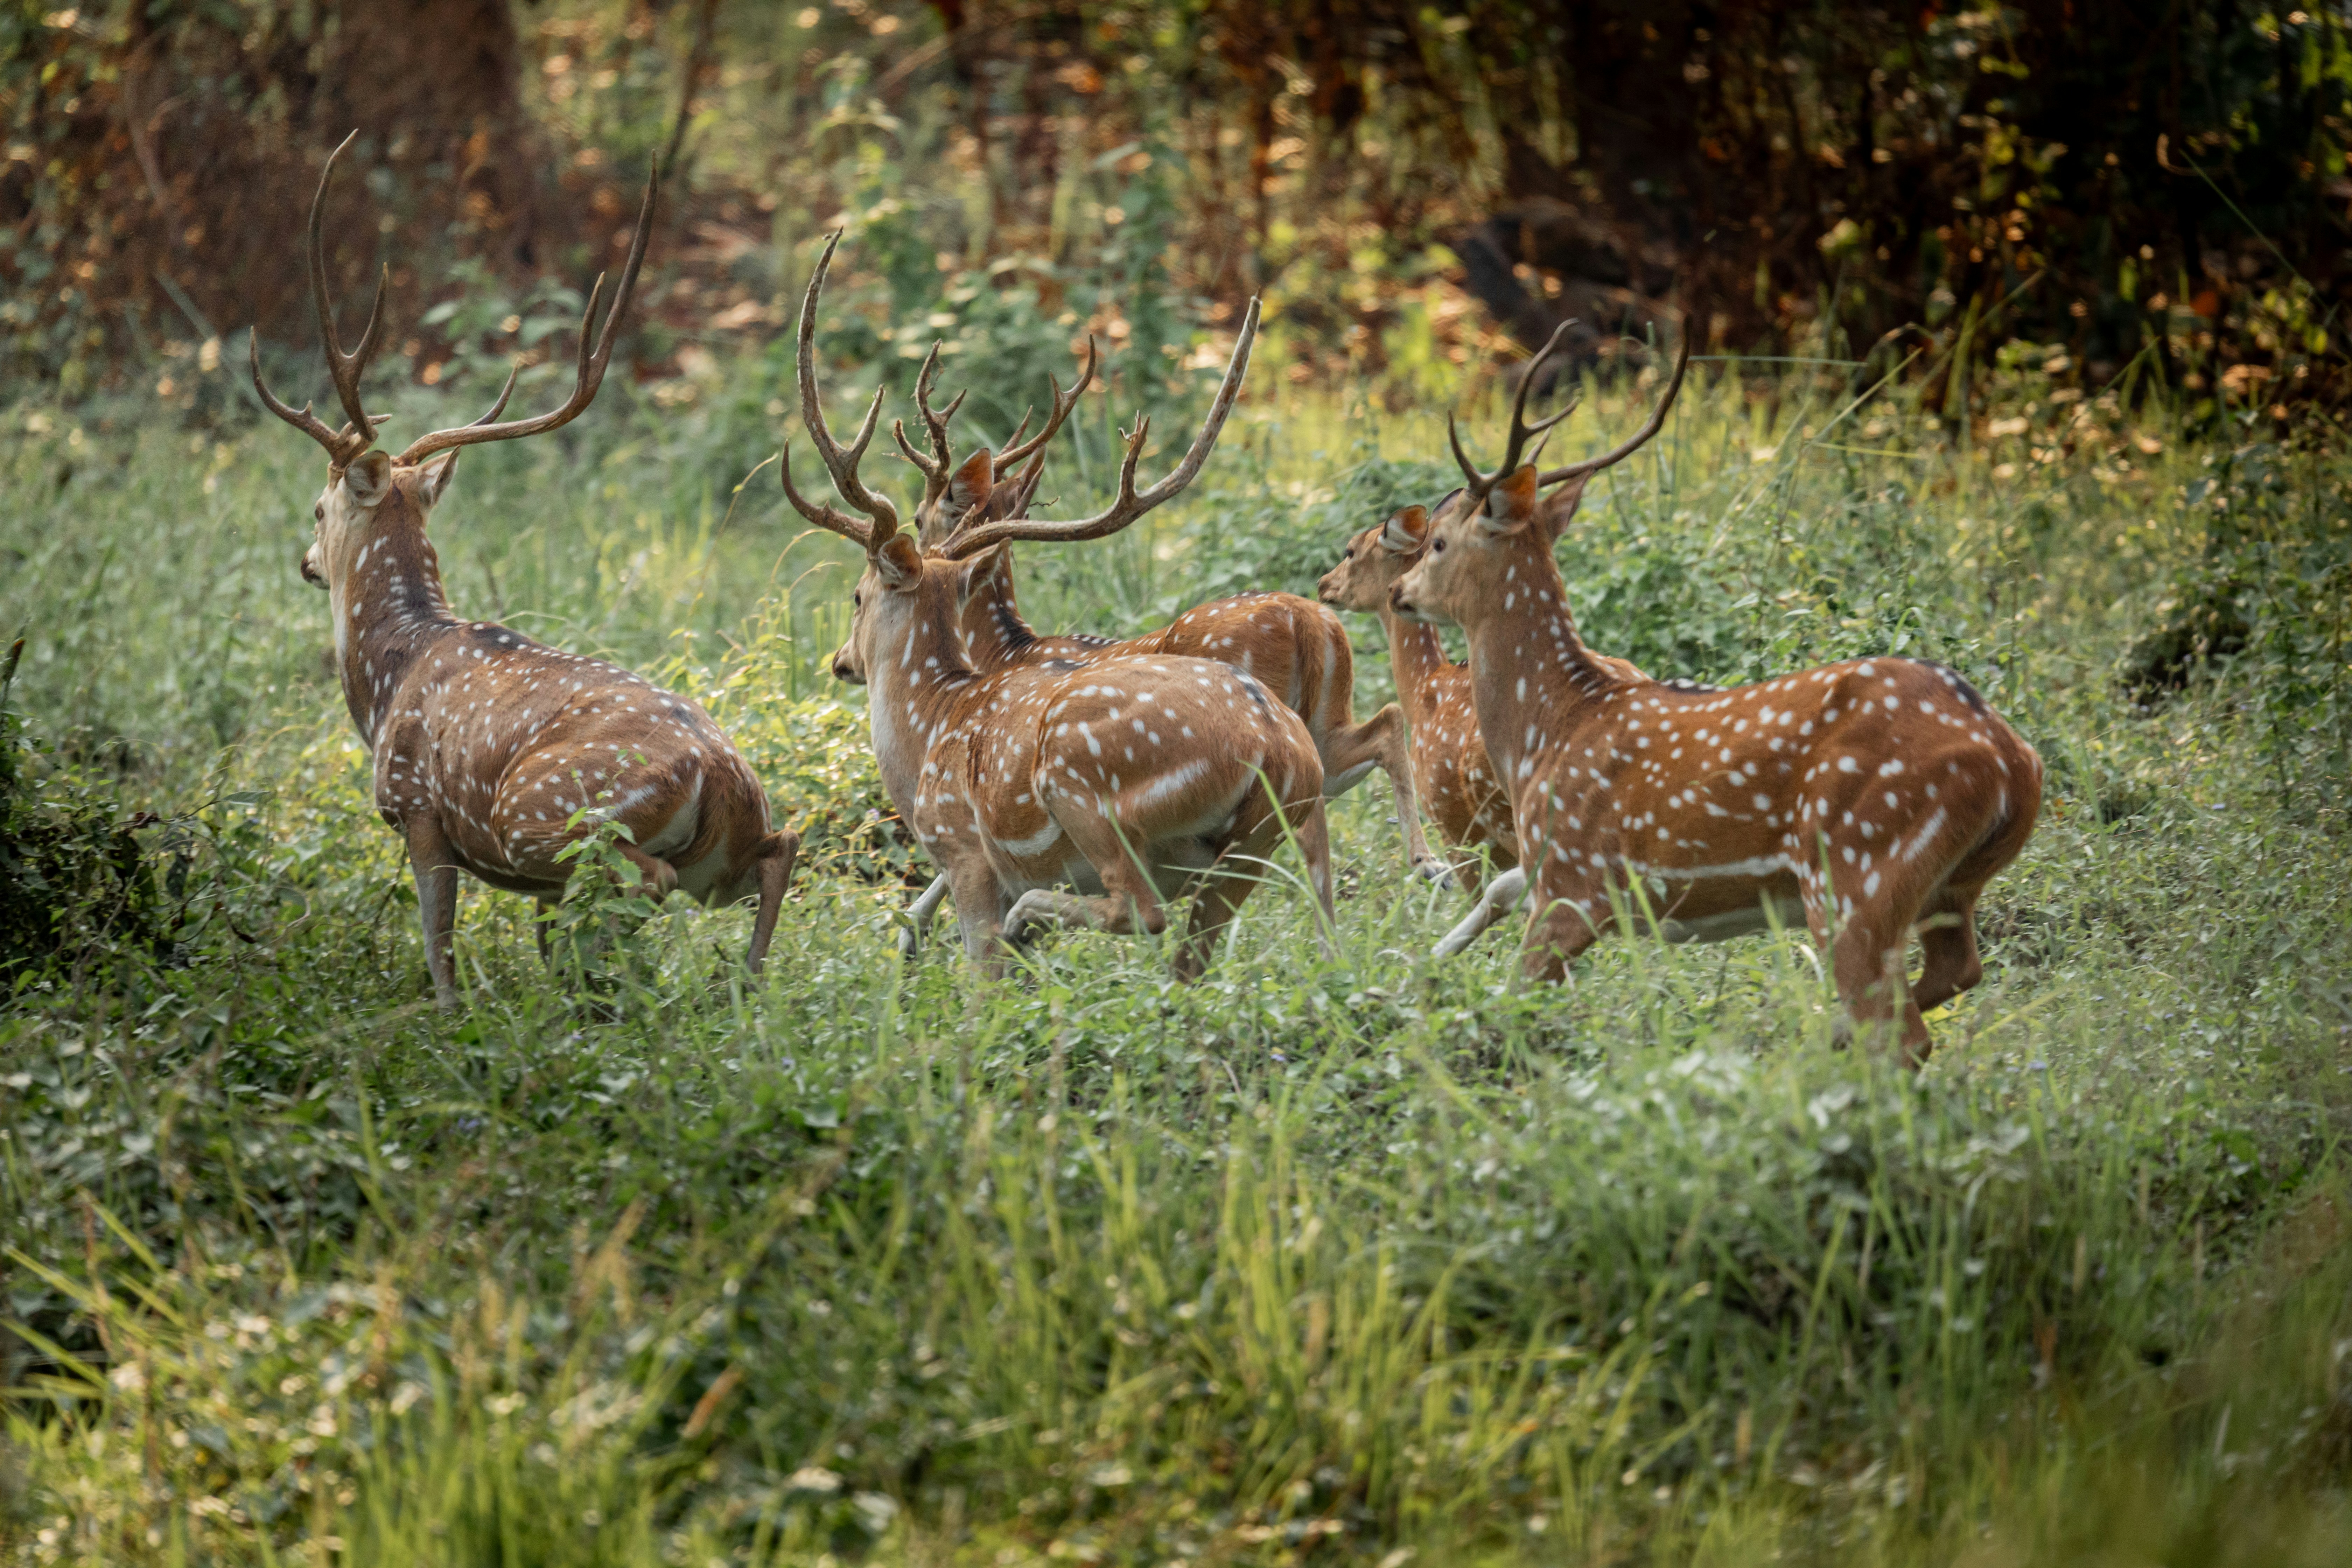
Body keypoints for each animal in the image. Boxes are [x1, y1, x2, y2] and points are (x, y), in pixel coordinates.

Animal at [250, 133, 799, 1008]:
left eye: (315, 509)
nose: (304, 563)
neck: (389, 676)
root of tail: (720, 768)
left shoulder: (417, 805)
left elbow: (437, 936)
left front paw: (447, 1013)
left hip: (538, 811)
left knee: (644, 877)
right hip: (721, 852)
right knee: (780, 851)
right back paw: (736, 989)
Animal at [786, 235, 1335, 979]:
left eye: (856, 596)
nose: (840, 661)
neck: (928, 727)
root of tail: (1274, 746)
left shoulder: (965, 851)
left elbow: (980, 968)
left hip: (1085, 789)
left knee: (1142, 910)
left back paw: (1032, 920)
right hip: (1259, 839)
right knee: (1207, 949)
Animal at [872, 338, 1445, 957]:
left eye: (920, 515)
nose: (921, 553)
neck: (1004, 650)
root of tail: (1310, 623)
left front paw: (913, 929)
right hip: (1322, 732)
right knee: (1379, 733)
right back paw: (1411, 881)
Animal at [1385, 318, 2042, 1064]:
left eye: (1439, 543)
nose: (1398, 590)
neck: (1545, 734)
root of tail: (2014, 764)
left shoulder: (1575, 882)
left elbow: (1513, 992)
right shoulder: (1552, 867)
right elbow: (1499, 897)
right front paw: (1420, 966)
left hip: (1857, 870)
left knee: (1900, 1030)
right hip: (1949, 889)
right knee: (1956, 974)